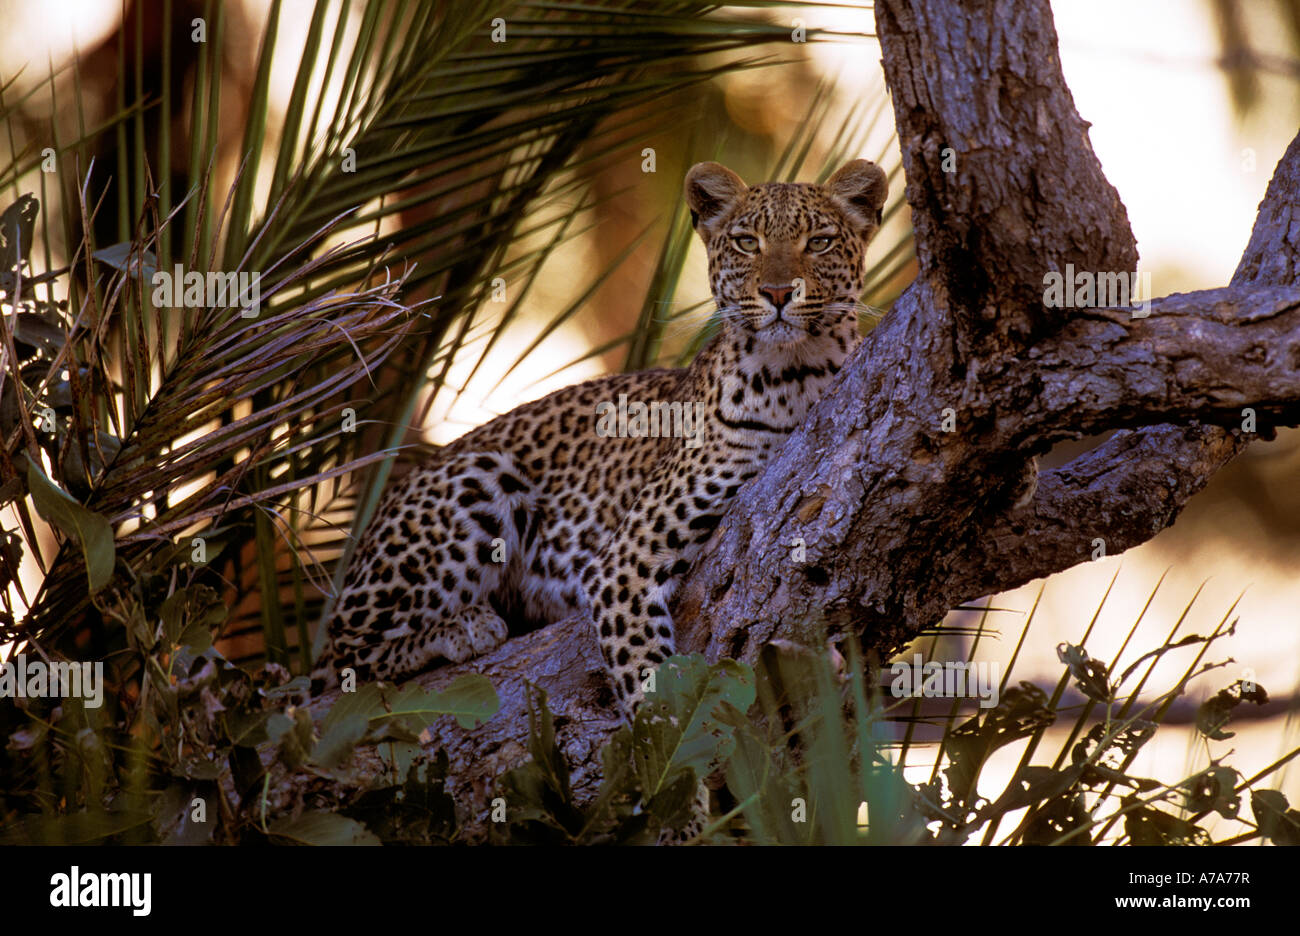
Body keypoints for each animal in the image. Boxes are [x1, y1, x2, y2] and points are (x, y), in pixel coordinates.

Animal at [310, 158, 890, 720]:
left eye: (819, 242)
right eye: (748, 242)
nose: (777, 293)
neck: (797, 372)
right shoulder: (623, 561)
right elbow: (645, 681)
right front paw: (667, 746)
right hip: (478, 476)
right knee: (341, 655)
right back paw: (462, 627)